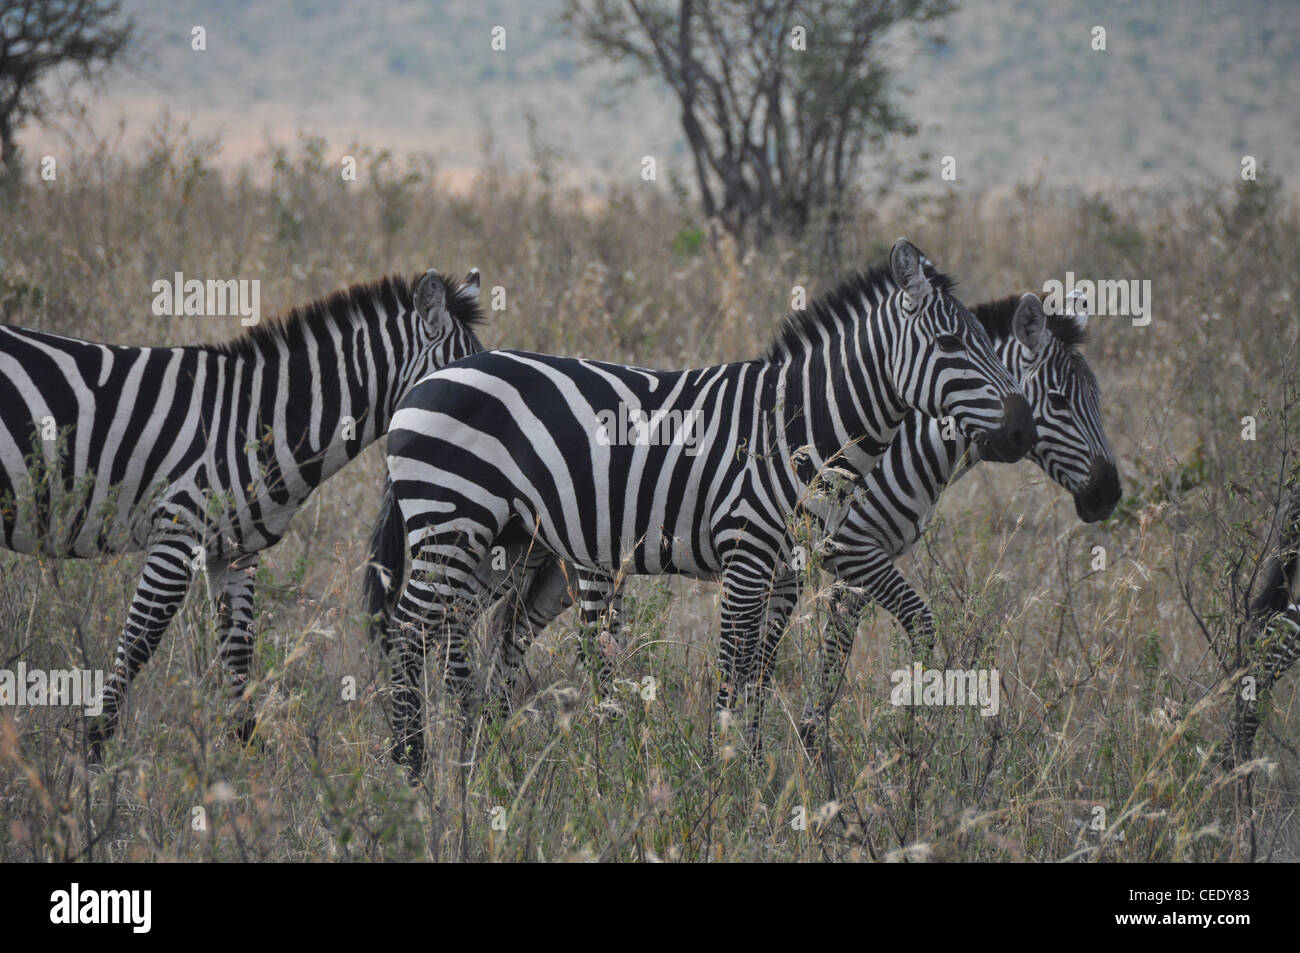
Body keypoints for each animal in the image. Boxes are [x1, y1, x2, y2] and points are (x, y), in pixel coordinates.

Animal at [0, 267, 485, 765]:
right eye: (464, 382)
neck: (256, 421)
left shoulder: (234, 552)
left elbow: (237, 653)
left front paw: (248, 761)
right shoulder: (177, 533)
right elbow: (136, 644)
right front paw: (95, 758)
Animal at [365, 239, 1039, 775]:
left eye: (986, 341)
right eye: (950, 342)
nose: (1021, 432)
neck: (797, 428)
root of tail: (428, 381)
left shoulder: (787, 567)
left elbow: (761, 666)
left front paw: (755, 768)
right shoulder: (746, 553)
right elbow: (733, 665)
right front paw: (725, 774)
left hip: (497, 540)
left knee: (444, 627)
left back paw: (467, 758)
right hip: (451, 521)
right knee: (407, 628)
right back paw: (413, 770)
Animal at [478, 290, 1120, 749]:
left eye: (1098, 399)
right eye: (1060, 401)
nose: (1108, 496)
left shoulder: (824, 562)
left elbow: (786, 653)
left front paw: (789, 743)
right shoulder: (850, 550)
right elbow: (884, 631)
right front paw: (876, 732)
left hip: (545, 560)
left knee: (509, 631)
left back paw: (498, 736)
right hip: (570, 561)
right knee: (571, 645)